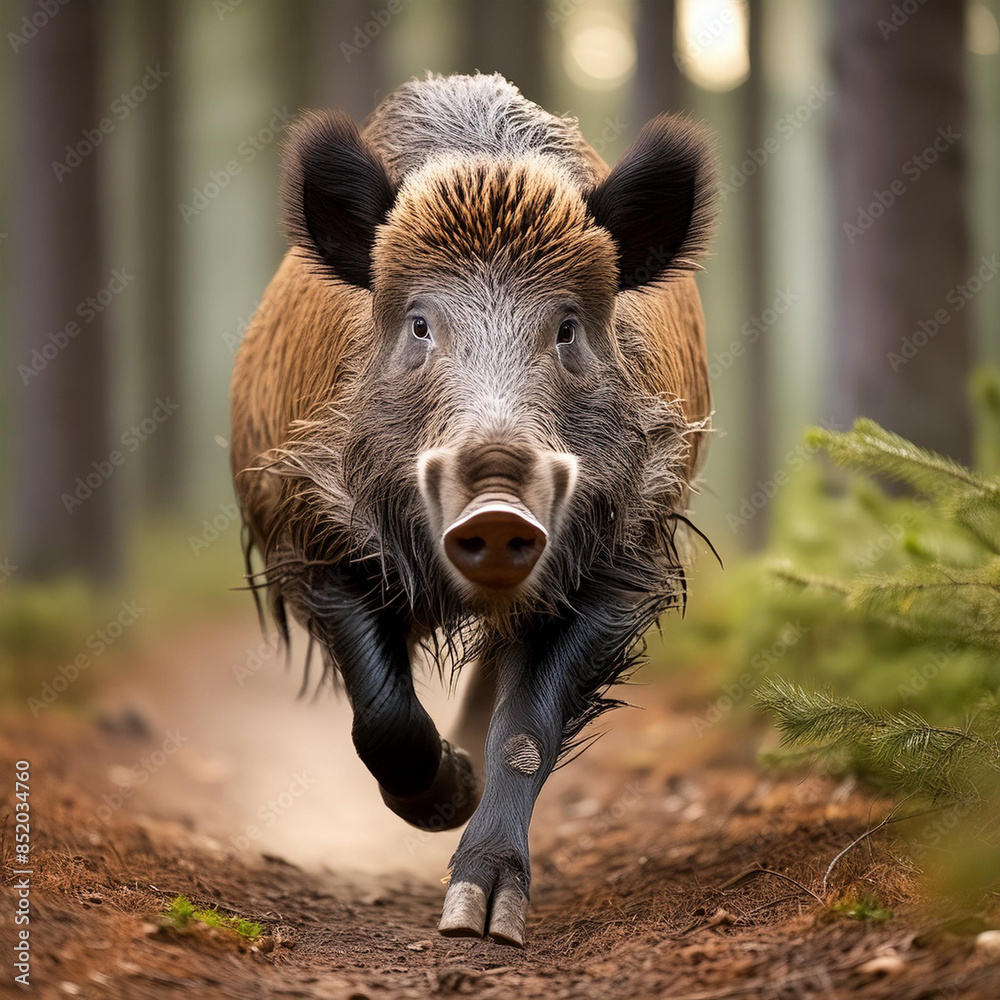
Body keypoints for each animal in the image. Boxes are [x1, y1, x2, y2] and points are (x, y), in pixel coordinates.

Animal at [230, 73, 716, 946]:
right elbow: (382, 713)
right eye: (420, 324)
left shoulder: (619, 561)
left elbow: (525, 731)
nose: (496, 508)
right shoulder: (312, 538)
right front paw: (445, 798)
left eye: (567, 328)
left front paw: (482, 920)